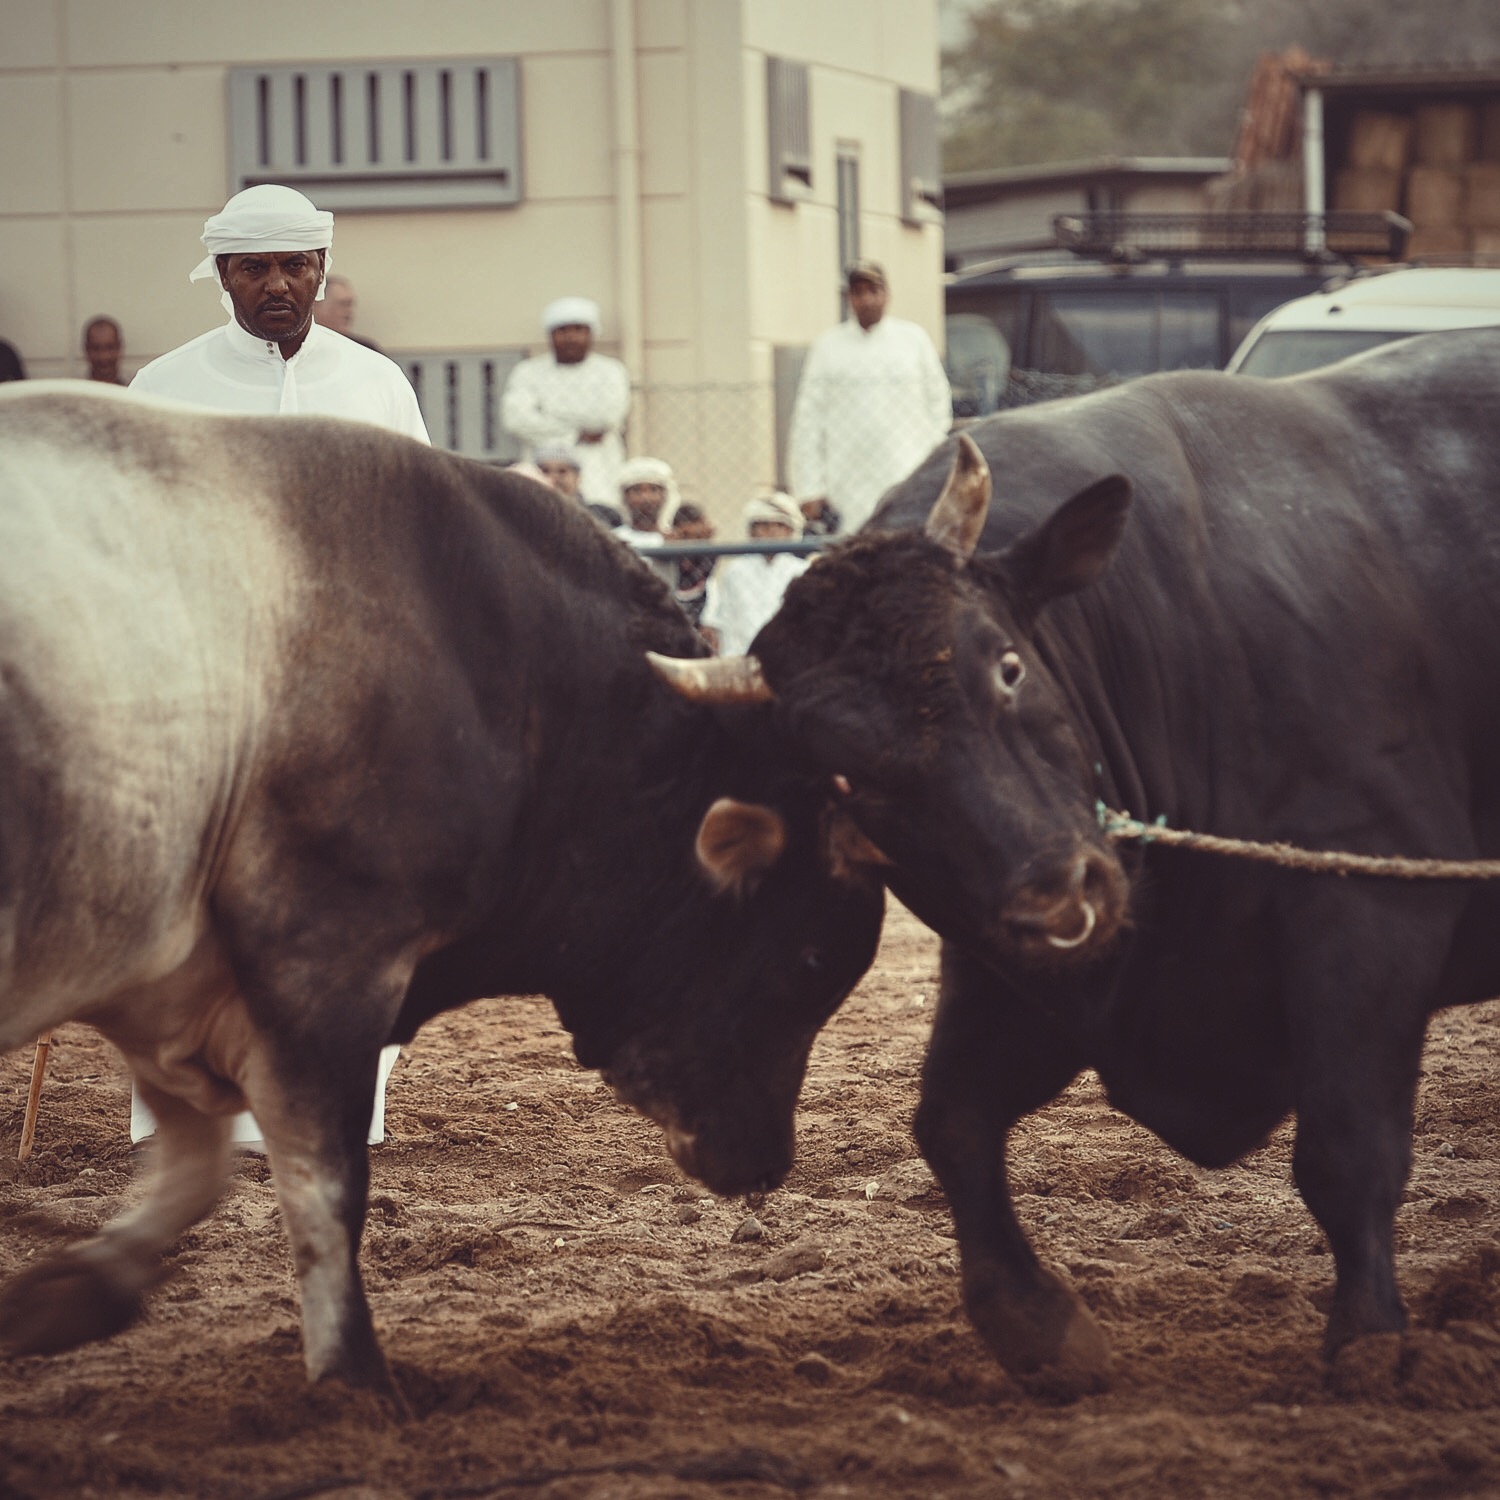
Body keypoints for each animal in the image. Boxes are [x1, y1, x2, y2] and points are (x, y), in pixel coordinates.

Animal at [0, 383, 886, 1407]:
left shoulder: (173, 985)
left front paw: (66, 1293)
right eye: (809, 954)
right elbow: (326, 1190)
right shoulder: (325, 966)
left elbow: (196, 1171)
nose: (769, 1162)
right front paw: (357, 1383)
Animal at [650, 329, 1500, 1396]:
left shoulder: (1368, 908)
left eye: (1007, 665)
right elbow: (952, 1120)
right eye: (848, 777)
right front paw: (1034, 1322)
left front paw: (1368, 1338)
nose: (1063, 894)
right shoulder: (1027, 962)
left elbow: (1348, 1150)